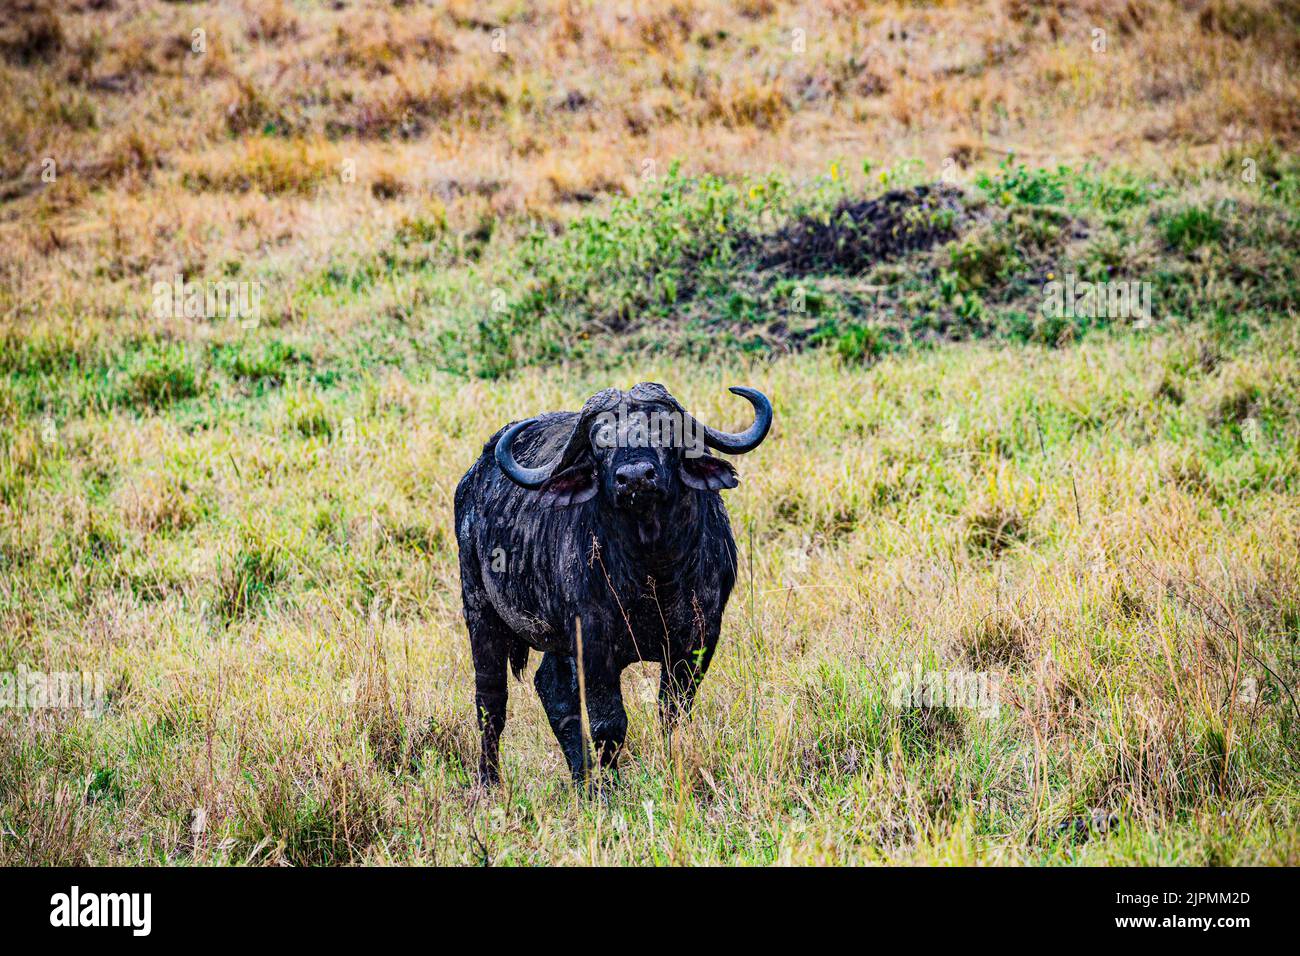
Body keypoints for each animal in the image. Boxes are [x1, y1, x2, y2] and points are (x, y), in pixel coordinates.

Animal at [454, 382, 772, 785]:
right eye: (599, 443)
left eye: (665, 430)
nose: (635, 477)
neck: (654, 571)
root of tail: (472, 479)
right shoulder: (592, 640)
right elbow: (609, 722)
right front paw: (610, 787)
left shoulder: (699, 637)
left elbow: (673, 710)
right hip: (481, 612)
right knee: (491, 702)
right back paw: (491, 780)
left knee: (552, 688)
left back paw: (580, 777)